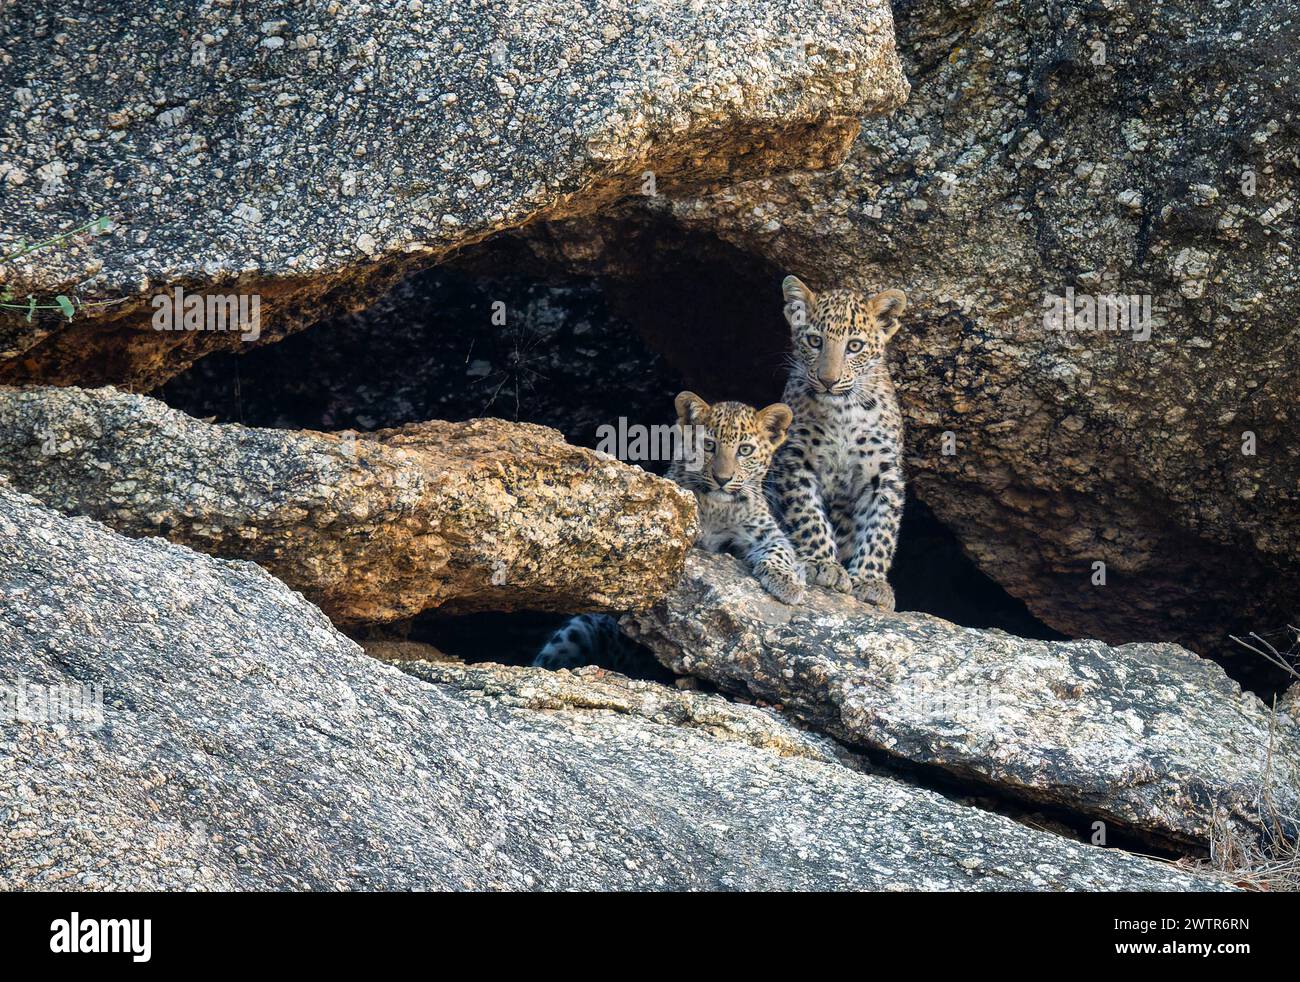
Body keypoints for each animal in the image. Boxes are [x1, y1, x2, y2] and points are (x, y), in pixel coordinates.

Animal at [767, 274, 907, 612]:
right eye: (814, 341)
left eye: (854, 346)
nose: (828, 380)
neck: (843, 412)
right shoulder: (794, 460)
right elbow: (808, 515)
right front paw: (822, 564)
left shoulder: (884, 472)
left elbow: (881, 525)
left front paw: (870, 581)